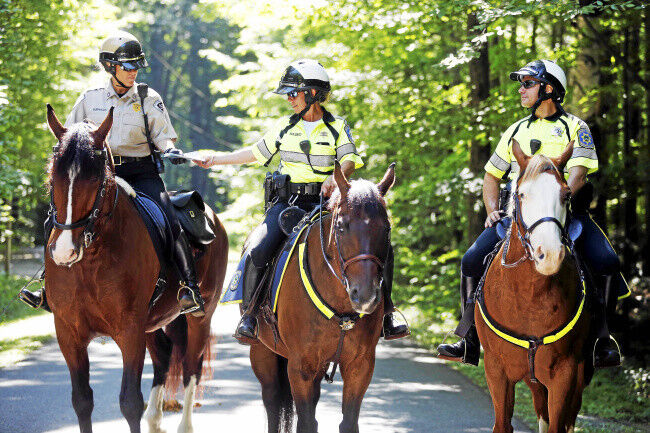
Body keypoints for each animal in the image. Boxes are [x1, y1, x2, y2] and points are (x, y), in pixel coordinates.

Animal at [44, 105, 228, 433]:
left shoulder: (129, 332)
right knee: (165, 355)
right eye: (54, 177)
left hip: (199, 317)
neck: (91, 261)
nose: (64, 252)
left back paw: (184, 424)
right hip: (152, 323)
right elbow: (82, 401)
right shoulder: (68, 333)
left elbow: (130, 402)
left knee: (191, 366)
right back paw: (155, 419)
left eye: (97, 179)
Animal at [247, 162, 395, 433]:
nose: (365, 295)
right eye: (341, 226)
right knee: (271, 400)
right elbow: (306, 422)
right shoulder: (301, 367)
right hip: (262, 352)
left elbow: (348, 422)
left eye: (386, 228)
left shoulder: (360, 366)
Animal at [475, 139, 593, 433]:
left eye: (566, 195)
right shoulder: (496, 370)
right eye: (522, 194)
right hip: (534, 380)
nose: (548, 255)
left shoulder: (565, 373)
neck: (529, 297)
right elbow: (503, 424)